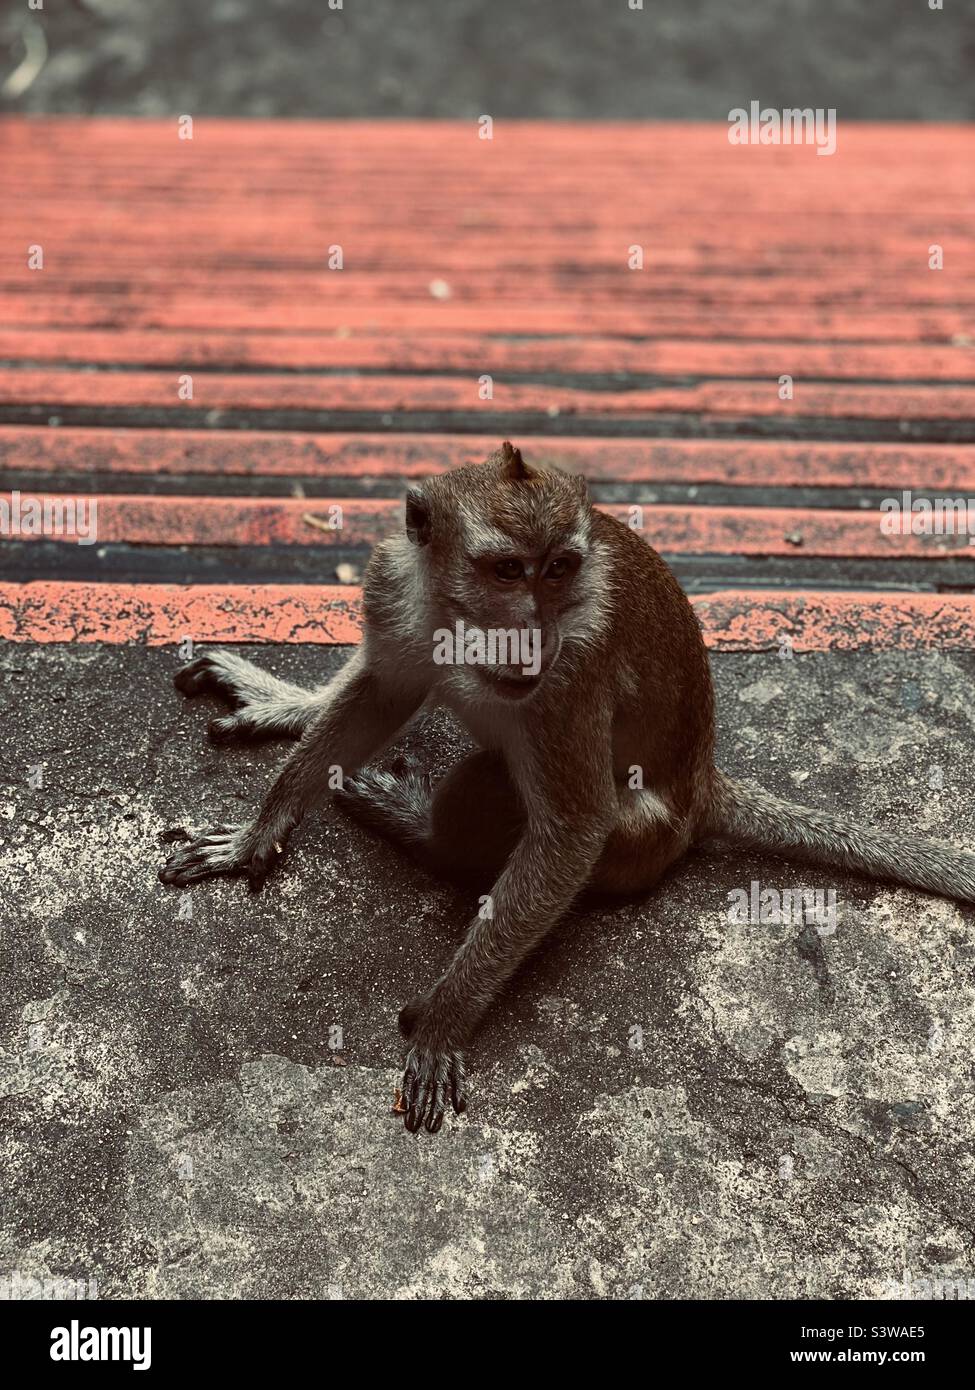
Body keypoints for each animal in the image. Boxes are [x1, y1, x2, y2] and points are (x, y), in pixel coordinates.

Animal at [160, 441, 975, 1134]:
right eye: (505, 571)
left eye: (558, 569)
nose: (532, 630)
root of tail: (702, 785)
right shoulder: (394, 592)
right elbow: (382, 693)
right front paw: (257, 831)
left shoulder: (572, 671)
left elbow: (575, 826)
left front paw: (445, 1021)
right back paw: (296, 710)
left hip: (638, 842)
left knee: (495, 787)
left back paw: (420, 829)